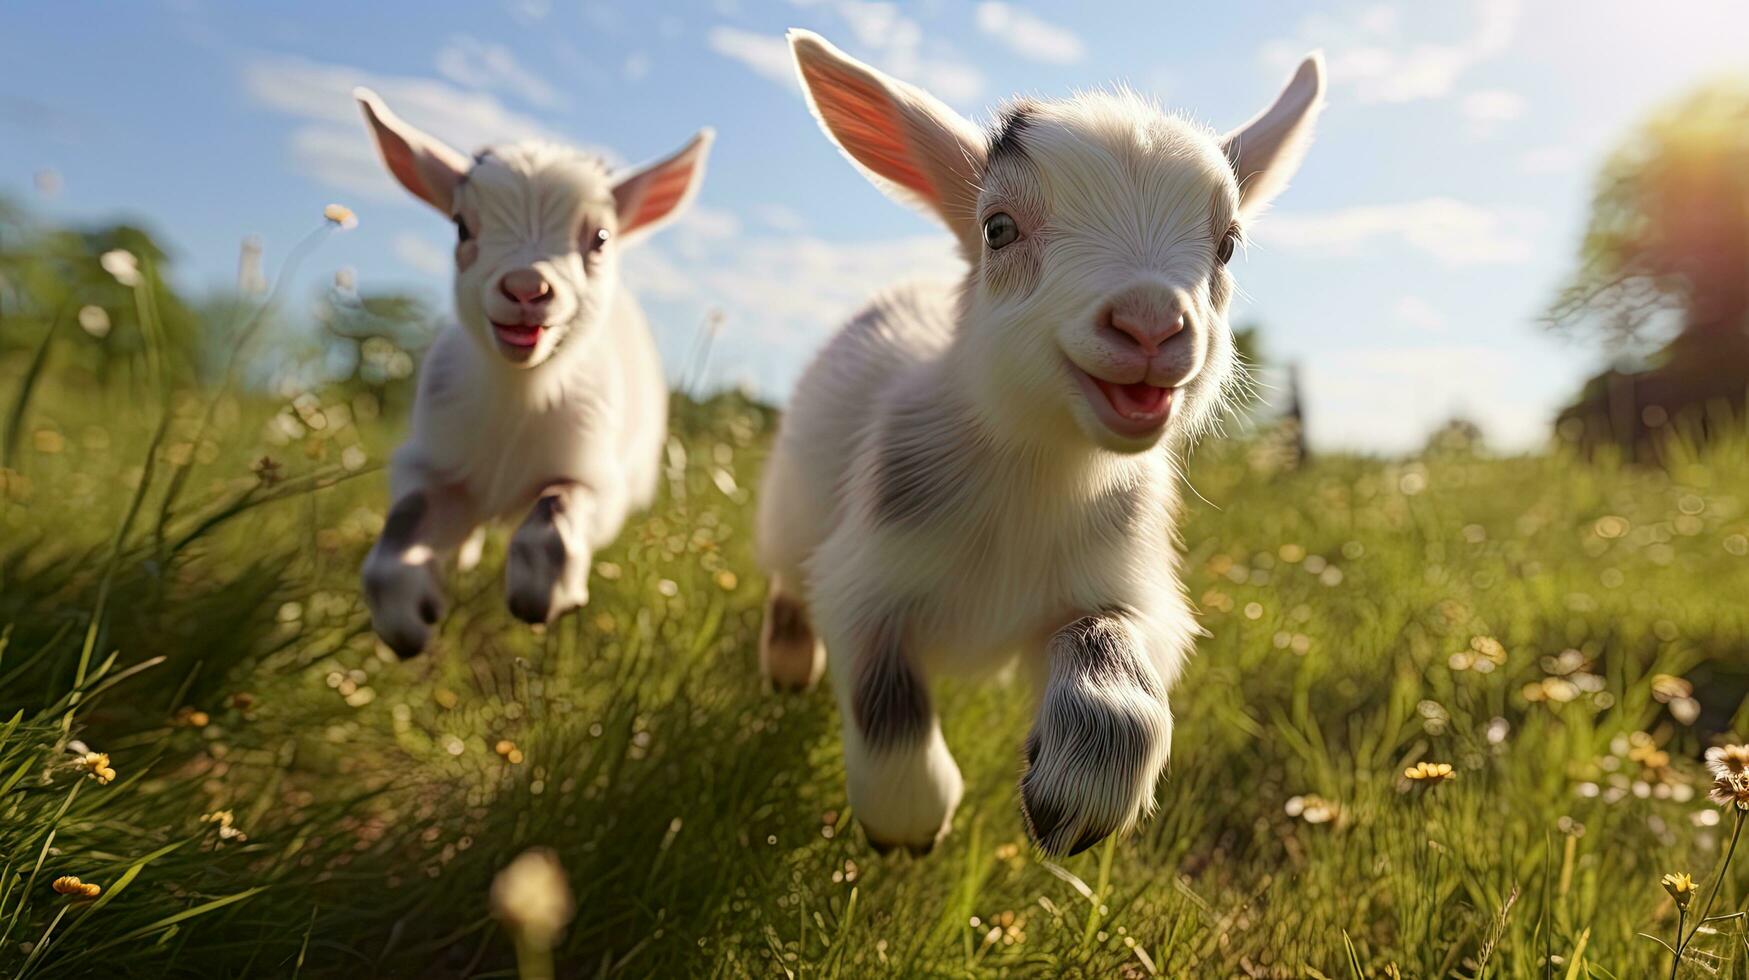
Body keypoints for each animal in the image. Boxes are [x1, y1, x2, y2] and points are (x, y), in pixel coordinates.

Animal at [354, 89, 712, 658]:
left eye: (601, 237)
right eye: (462, 227)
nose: (526, 287)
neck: (521, 393)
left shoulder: (598, 475)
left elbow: (553, 515)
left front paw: (542, 596)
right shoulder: (434, 462)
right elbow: (399, 535)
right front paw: (410, 622)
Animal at [756, 31, 1324, 856]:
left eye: (1225, 246)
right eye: (997, 228)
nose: (1149, 323)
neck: (1038, 471)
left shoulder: (1126, 587)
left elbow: (1113, 658)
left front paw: (1072, 796)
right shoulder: (866, 577)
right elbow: (885, 705)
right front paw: (909, 824)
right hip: (788, 512)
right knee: (787, 587)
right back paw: (789, 665)